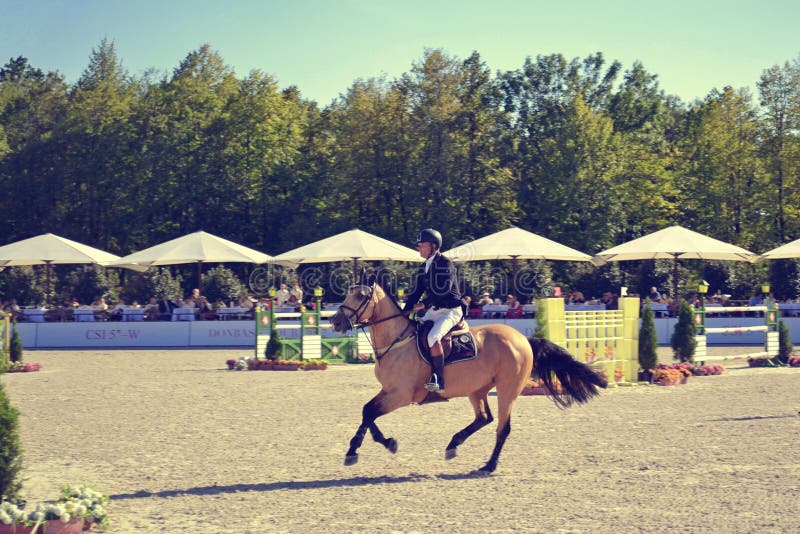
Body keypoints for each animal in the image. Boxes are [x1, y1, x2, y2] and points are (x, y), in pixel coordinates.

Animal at [330, 279, 609, 474]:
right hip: (478, 389)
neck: (398, 341)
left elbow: (370, 413)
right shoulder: (388, 391)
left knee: (502, 427)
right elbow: (367, 411)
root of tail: (523, 339)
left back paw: (488, 465)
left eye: (361, 296)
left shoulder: (401, 395)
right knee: (484, 418)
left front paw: (357, 450)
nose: (335, 321)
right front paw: (382, 443)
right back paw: (453, 445)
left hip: (507, 390)